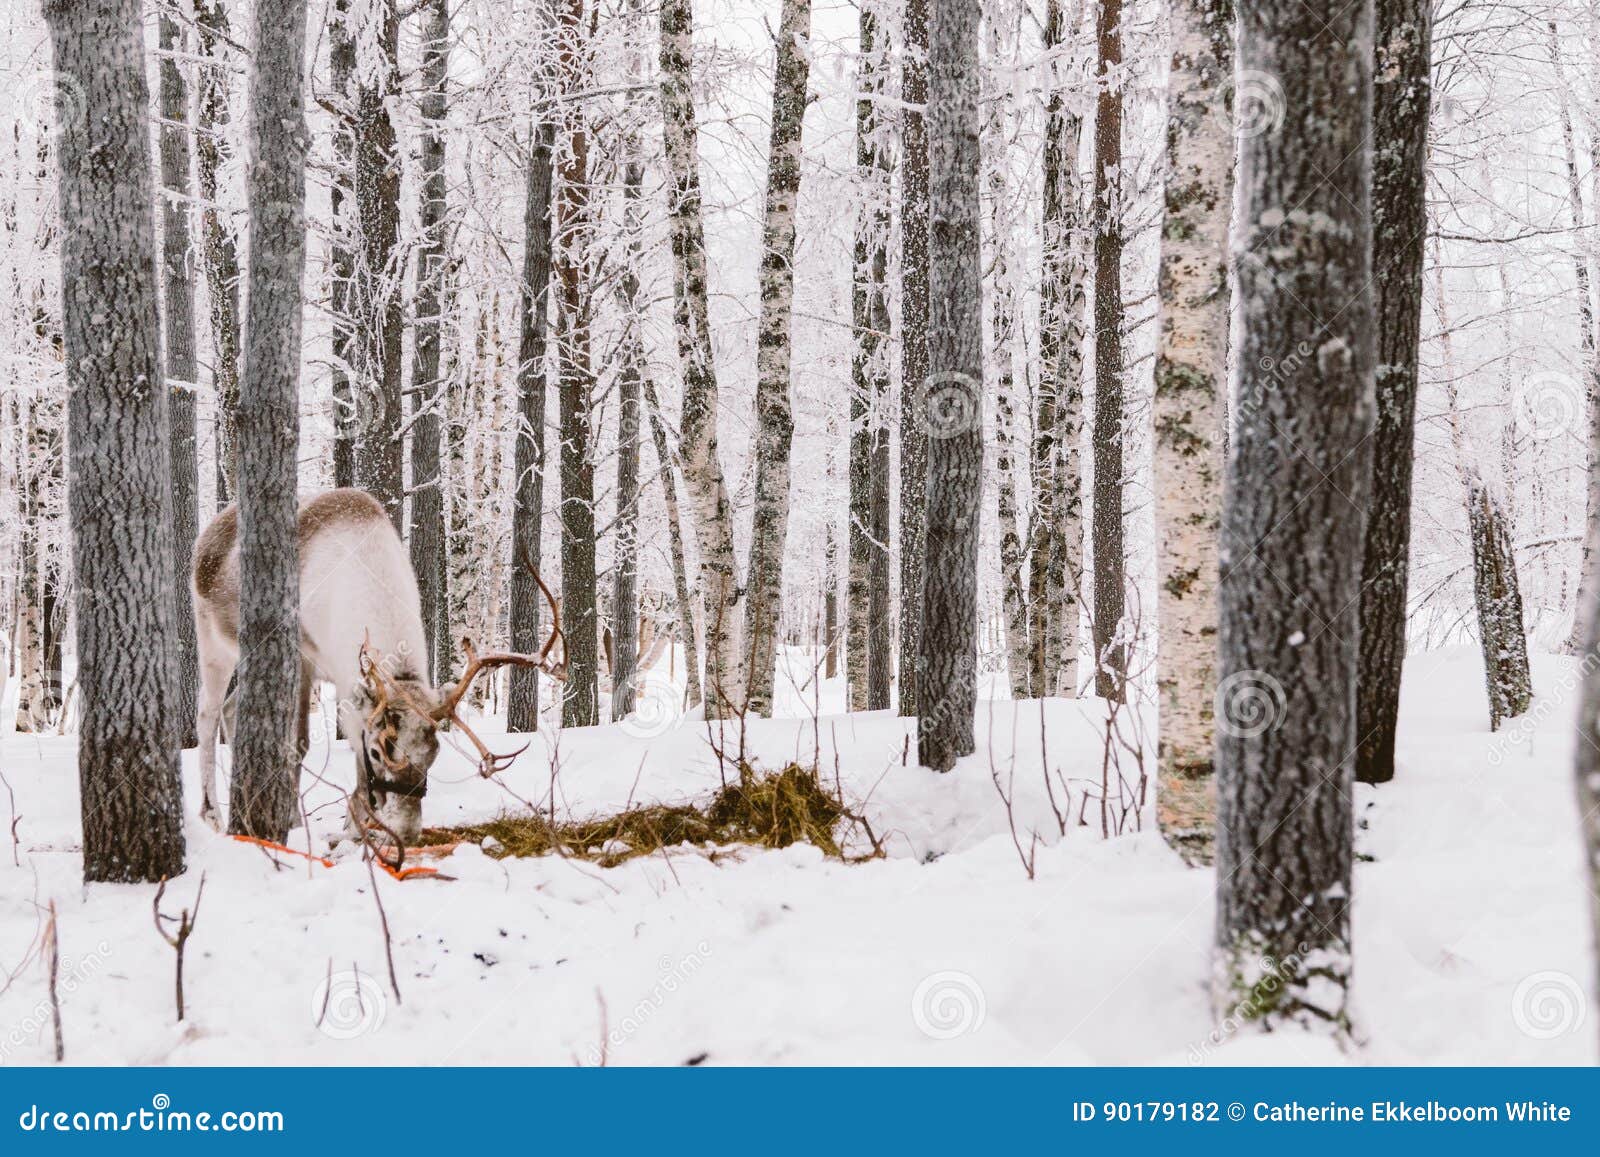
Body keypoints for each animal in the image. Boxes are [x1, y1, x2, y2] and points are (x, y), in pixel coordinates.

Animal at [190, 488, 565, 845]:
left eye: (433, 755)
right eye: (378, 751)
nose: (407, 830)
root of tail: (203, 538)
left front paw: (355, 826)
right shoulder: (304, 659)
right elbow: (298, 744)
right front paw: (296, 822)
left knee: (230, 708)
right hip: (213, 641)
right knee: (207, 713)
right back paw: (212, 814)